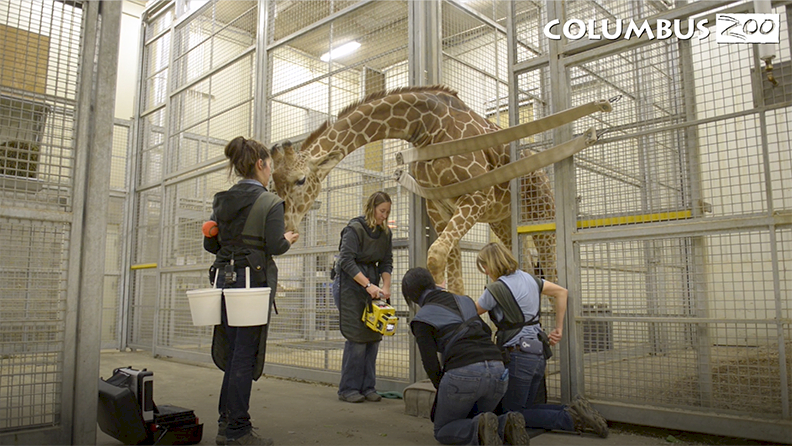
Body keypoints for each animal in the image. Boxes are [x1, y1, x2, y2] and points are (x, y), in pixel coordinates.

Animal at [271, 86, 559, 295]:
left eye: (300, 180)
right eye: (273, 184)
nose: (287, 228)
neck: (428, 127)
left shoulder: (477, 196)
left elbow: (436, 256)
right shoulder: (439, 208)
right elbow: (454, 280)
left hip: (542, 215)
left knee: (552, 270)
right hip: (503, 220)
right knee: (525, 265)